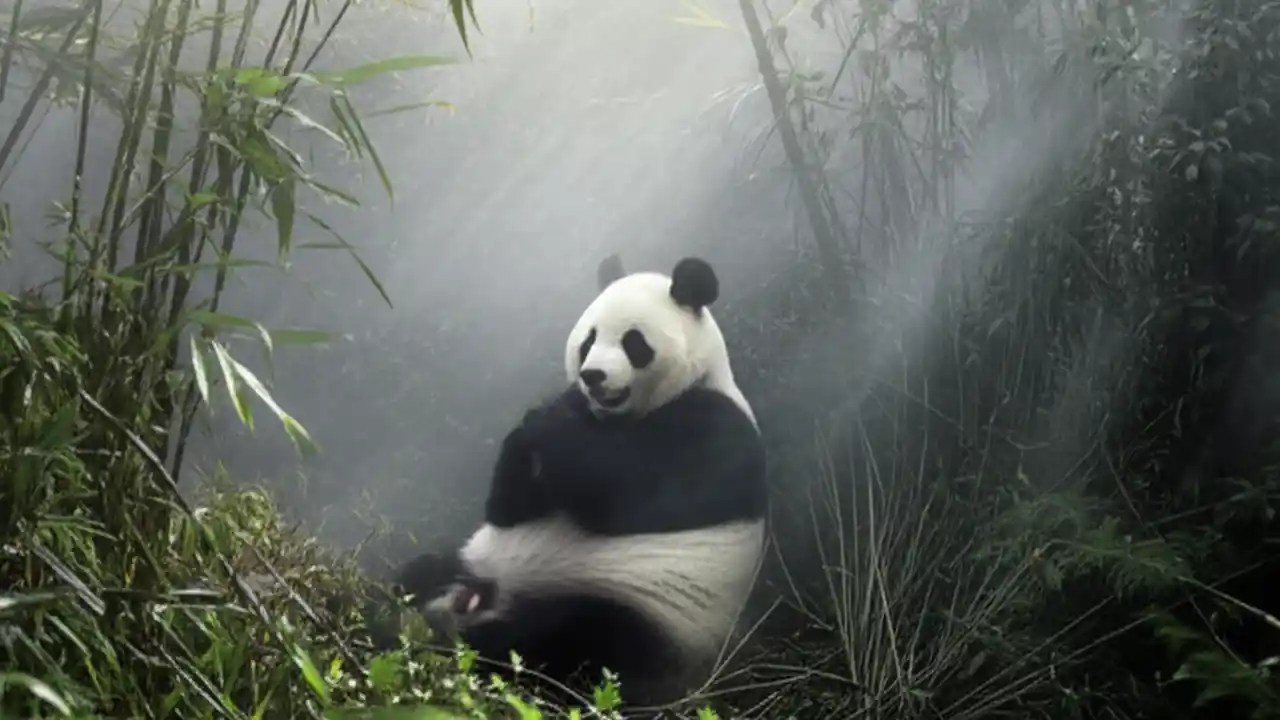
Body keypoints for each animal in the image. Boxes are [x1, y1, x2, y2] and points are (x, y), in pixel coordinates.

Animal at [394, 256, 767, 707]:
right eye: (588, 341)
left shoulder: (713, 426)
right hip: (475, 562)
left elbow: (631, 495)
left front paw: (549, 420)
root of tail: (483, 596)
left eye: (633, 342)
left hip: (645, 612)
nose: (593, 376)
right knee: (423, 571)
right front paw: (539, 424)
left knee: (564, 640)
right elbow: (507, 508)